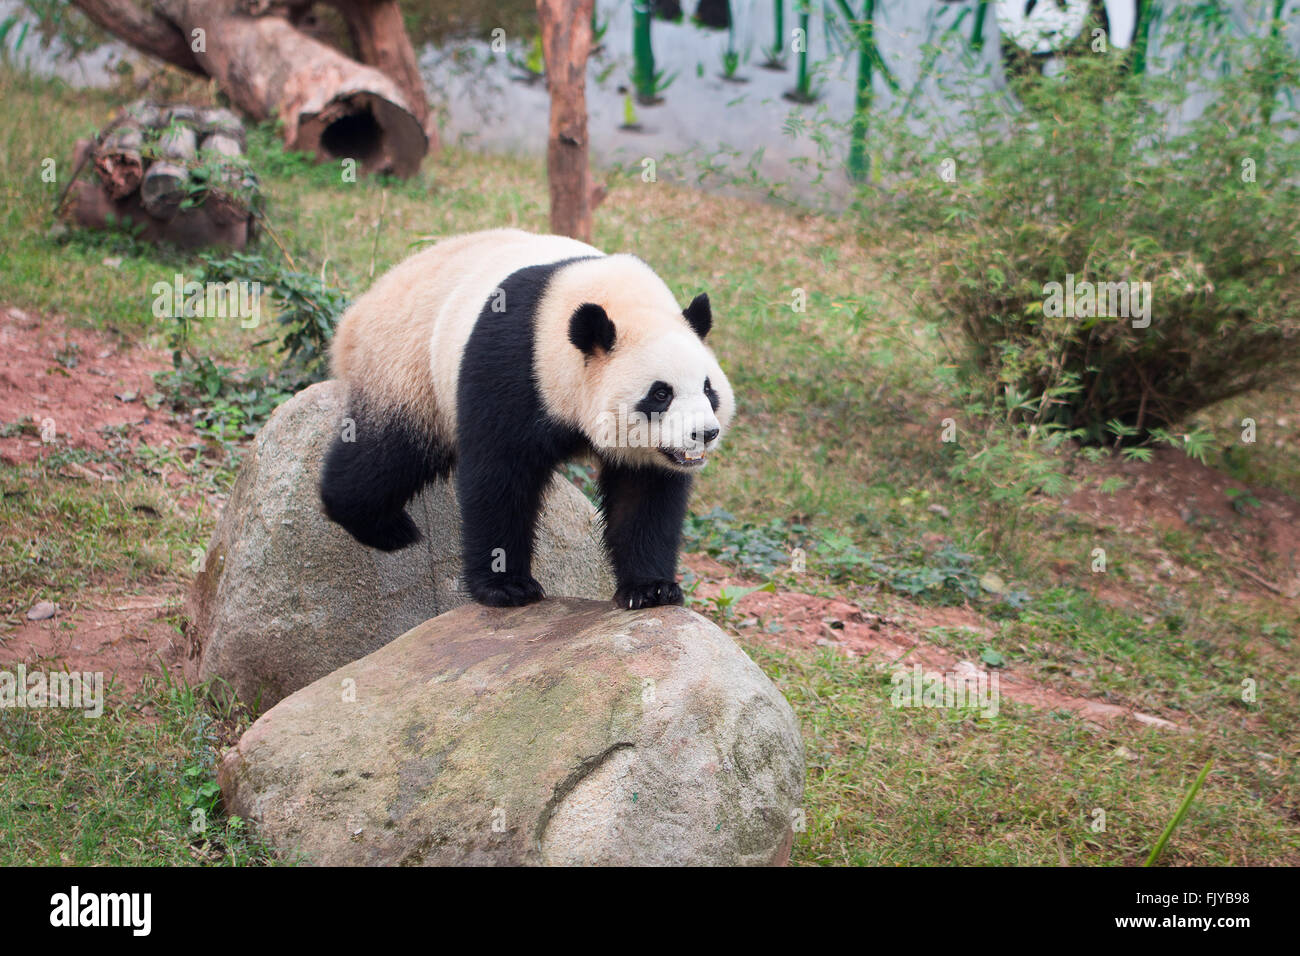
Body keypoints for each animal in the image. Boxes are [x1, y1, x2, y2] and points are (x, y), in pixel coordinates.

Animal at [319, 228, 735, 609]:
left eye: (708, 388)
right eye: (661, 394)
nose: (705, 433)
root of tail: (355, 315)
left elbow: (644, 495)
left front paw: (650, 589)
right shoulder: (513, 362)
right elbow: (500, 474)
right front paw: (506, 587)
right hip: (406, 365)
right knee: (388, 454)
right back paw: (383, 527)